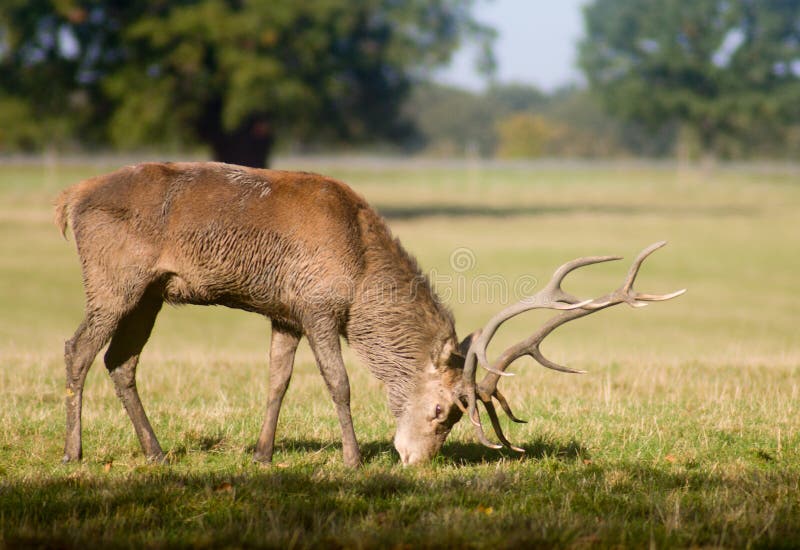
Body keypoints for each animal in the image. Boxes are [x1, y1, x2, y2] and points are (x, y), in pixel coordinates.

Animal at [55, 162, 685, 466]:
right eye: (442, 411)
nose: (416, 461)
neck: (359, 271)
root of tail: (70, 198)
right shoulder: (317, 306)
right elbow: (338, 383)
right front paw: (354, 459)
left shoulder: (284, 313)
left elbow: (276, 382)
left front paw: (263, 455)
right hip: (112, 278)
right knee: (78, 349)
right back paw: (73, 453)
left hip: (152, 291)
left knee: (121, 361)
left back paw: (157, 453)